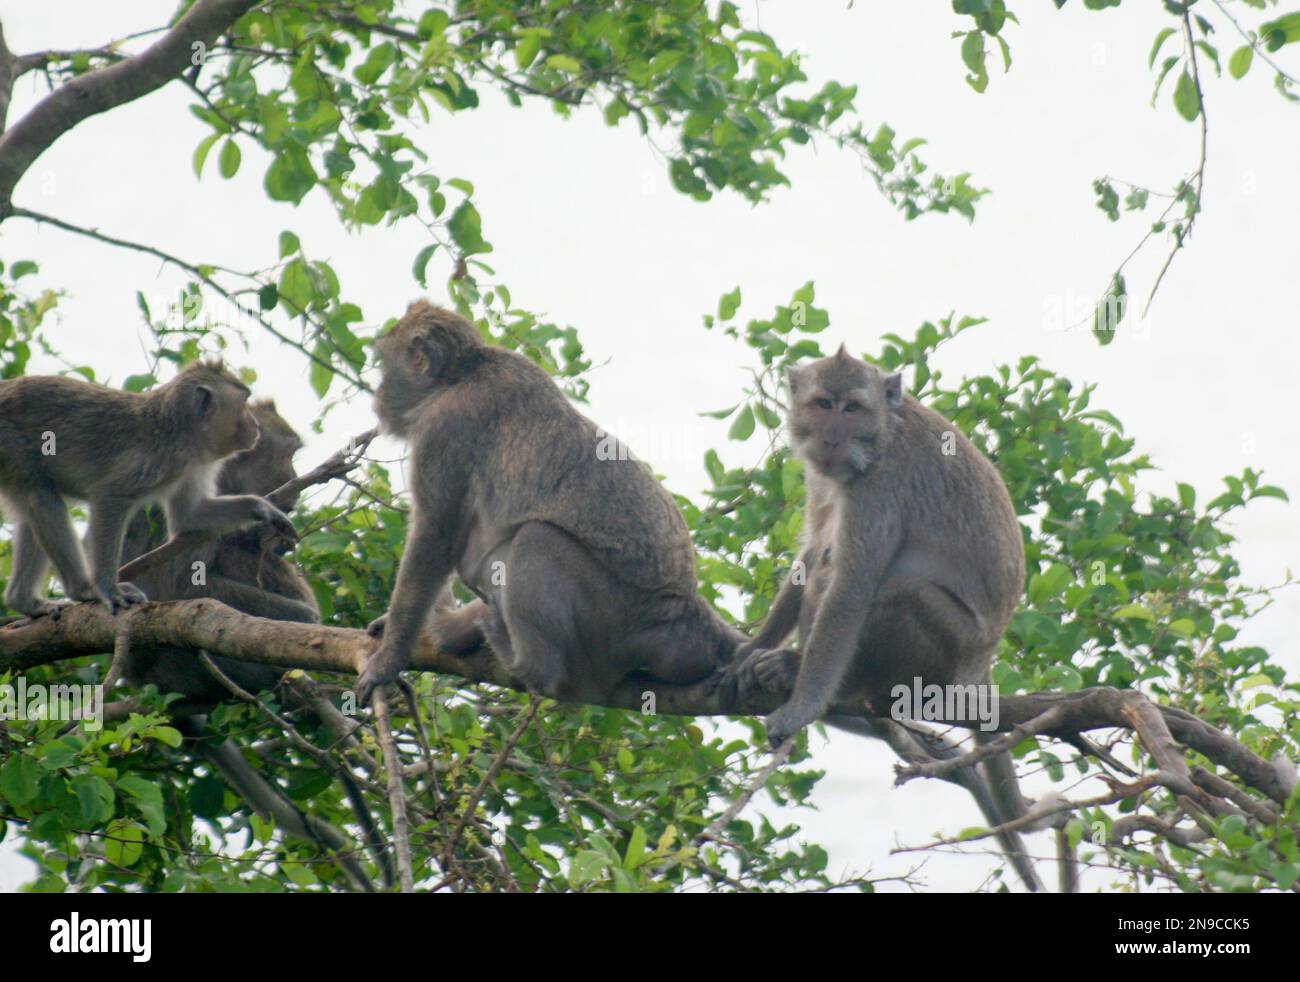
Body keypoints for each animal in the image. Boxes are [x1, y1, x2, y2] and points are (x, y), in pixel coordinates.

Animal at [0, 359, 296, 619]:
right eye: (244, 403)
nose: (256, 426)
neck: (183, 432)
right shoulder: (154, 460)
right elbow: (109, 499)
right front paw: (108, 589)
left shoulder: (194, 465)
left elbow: (189, 517)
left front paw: (263, 509)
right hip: (10, 443)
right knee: (42, 500)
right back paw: (82, 590)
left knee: (37, 503)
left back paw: (23, 601)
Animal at [356, 300, 746, 705]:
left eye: (385, 363)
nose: (377, 397)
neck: (462, 375)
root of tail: (687, 611)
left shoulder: (443, 427)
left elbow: (435, 535)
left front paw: (387, 662)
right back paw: (451, 629)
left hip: (617, 623)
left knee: (535, 538)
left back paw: (530, 667)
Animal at [722, 344, 1044, 890]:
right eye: (823, 404)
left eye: (852, 408)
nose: (832, 436)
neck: (879, 438)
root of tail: (983, 663)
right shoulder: (823, 477)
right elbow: (811, 551)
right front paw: (753, 647)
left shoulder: (879, 489)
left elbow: (851, 589)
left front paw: (802, 705)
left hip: (949, 649)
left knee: (896, 589)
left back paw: (829, 683)